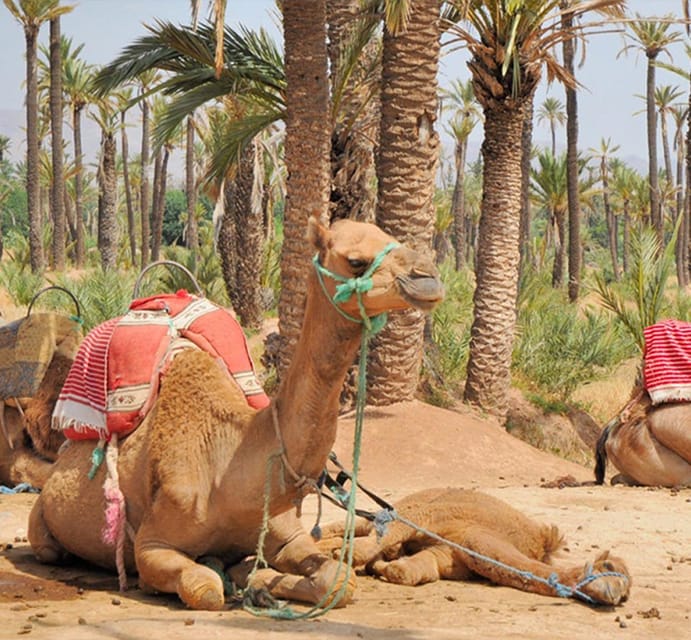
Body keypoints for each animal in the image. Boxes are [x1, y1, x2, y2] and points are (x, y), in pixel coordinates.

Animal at [27, 217, 444, 611]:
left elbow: (338, 580)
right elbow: (205, 588)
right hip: (42, 526)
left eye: (390, 236)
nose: (430, 277)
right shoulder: (152, 544)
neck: (230, 466)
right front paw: (236, 579)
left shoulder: (286, 534)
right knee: (50, 548)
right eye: (356, 261)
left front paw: (256, 579)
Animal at [317, 487, 631, 606]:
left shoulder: (448, 554)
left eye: (627, 591)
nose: (616, 596)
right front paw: (350, 557)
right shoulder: (426, 516)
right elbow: (385, 536)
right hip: (408, 504)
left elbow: (410, 571)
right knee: (357, 524)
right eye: (609, 566)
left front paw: (383, 566)